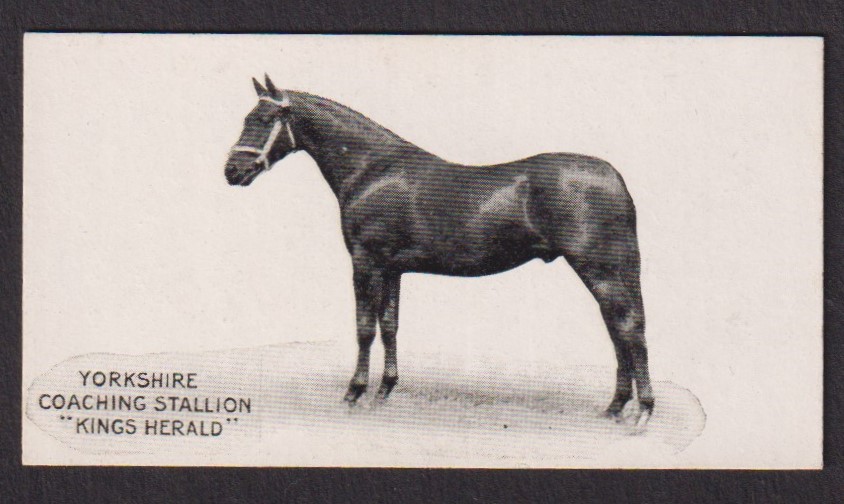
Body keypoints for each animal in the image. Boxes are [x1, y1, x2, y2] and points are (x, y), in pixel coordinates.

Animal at [224, 75, 654, 428]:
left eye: (265, 119)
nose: (232, 172)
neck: (372, 170)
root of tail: (613, 177)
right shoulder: (392, 268)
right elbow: (390, 325)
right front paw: (384, 392)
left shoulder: (365, 262)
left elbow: (364, 327)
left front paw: (354, 393)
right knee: (618, 328)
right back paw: (615, 408)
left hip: (599, 269)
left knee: (627, 326)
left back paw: (642, 412)